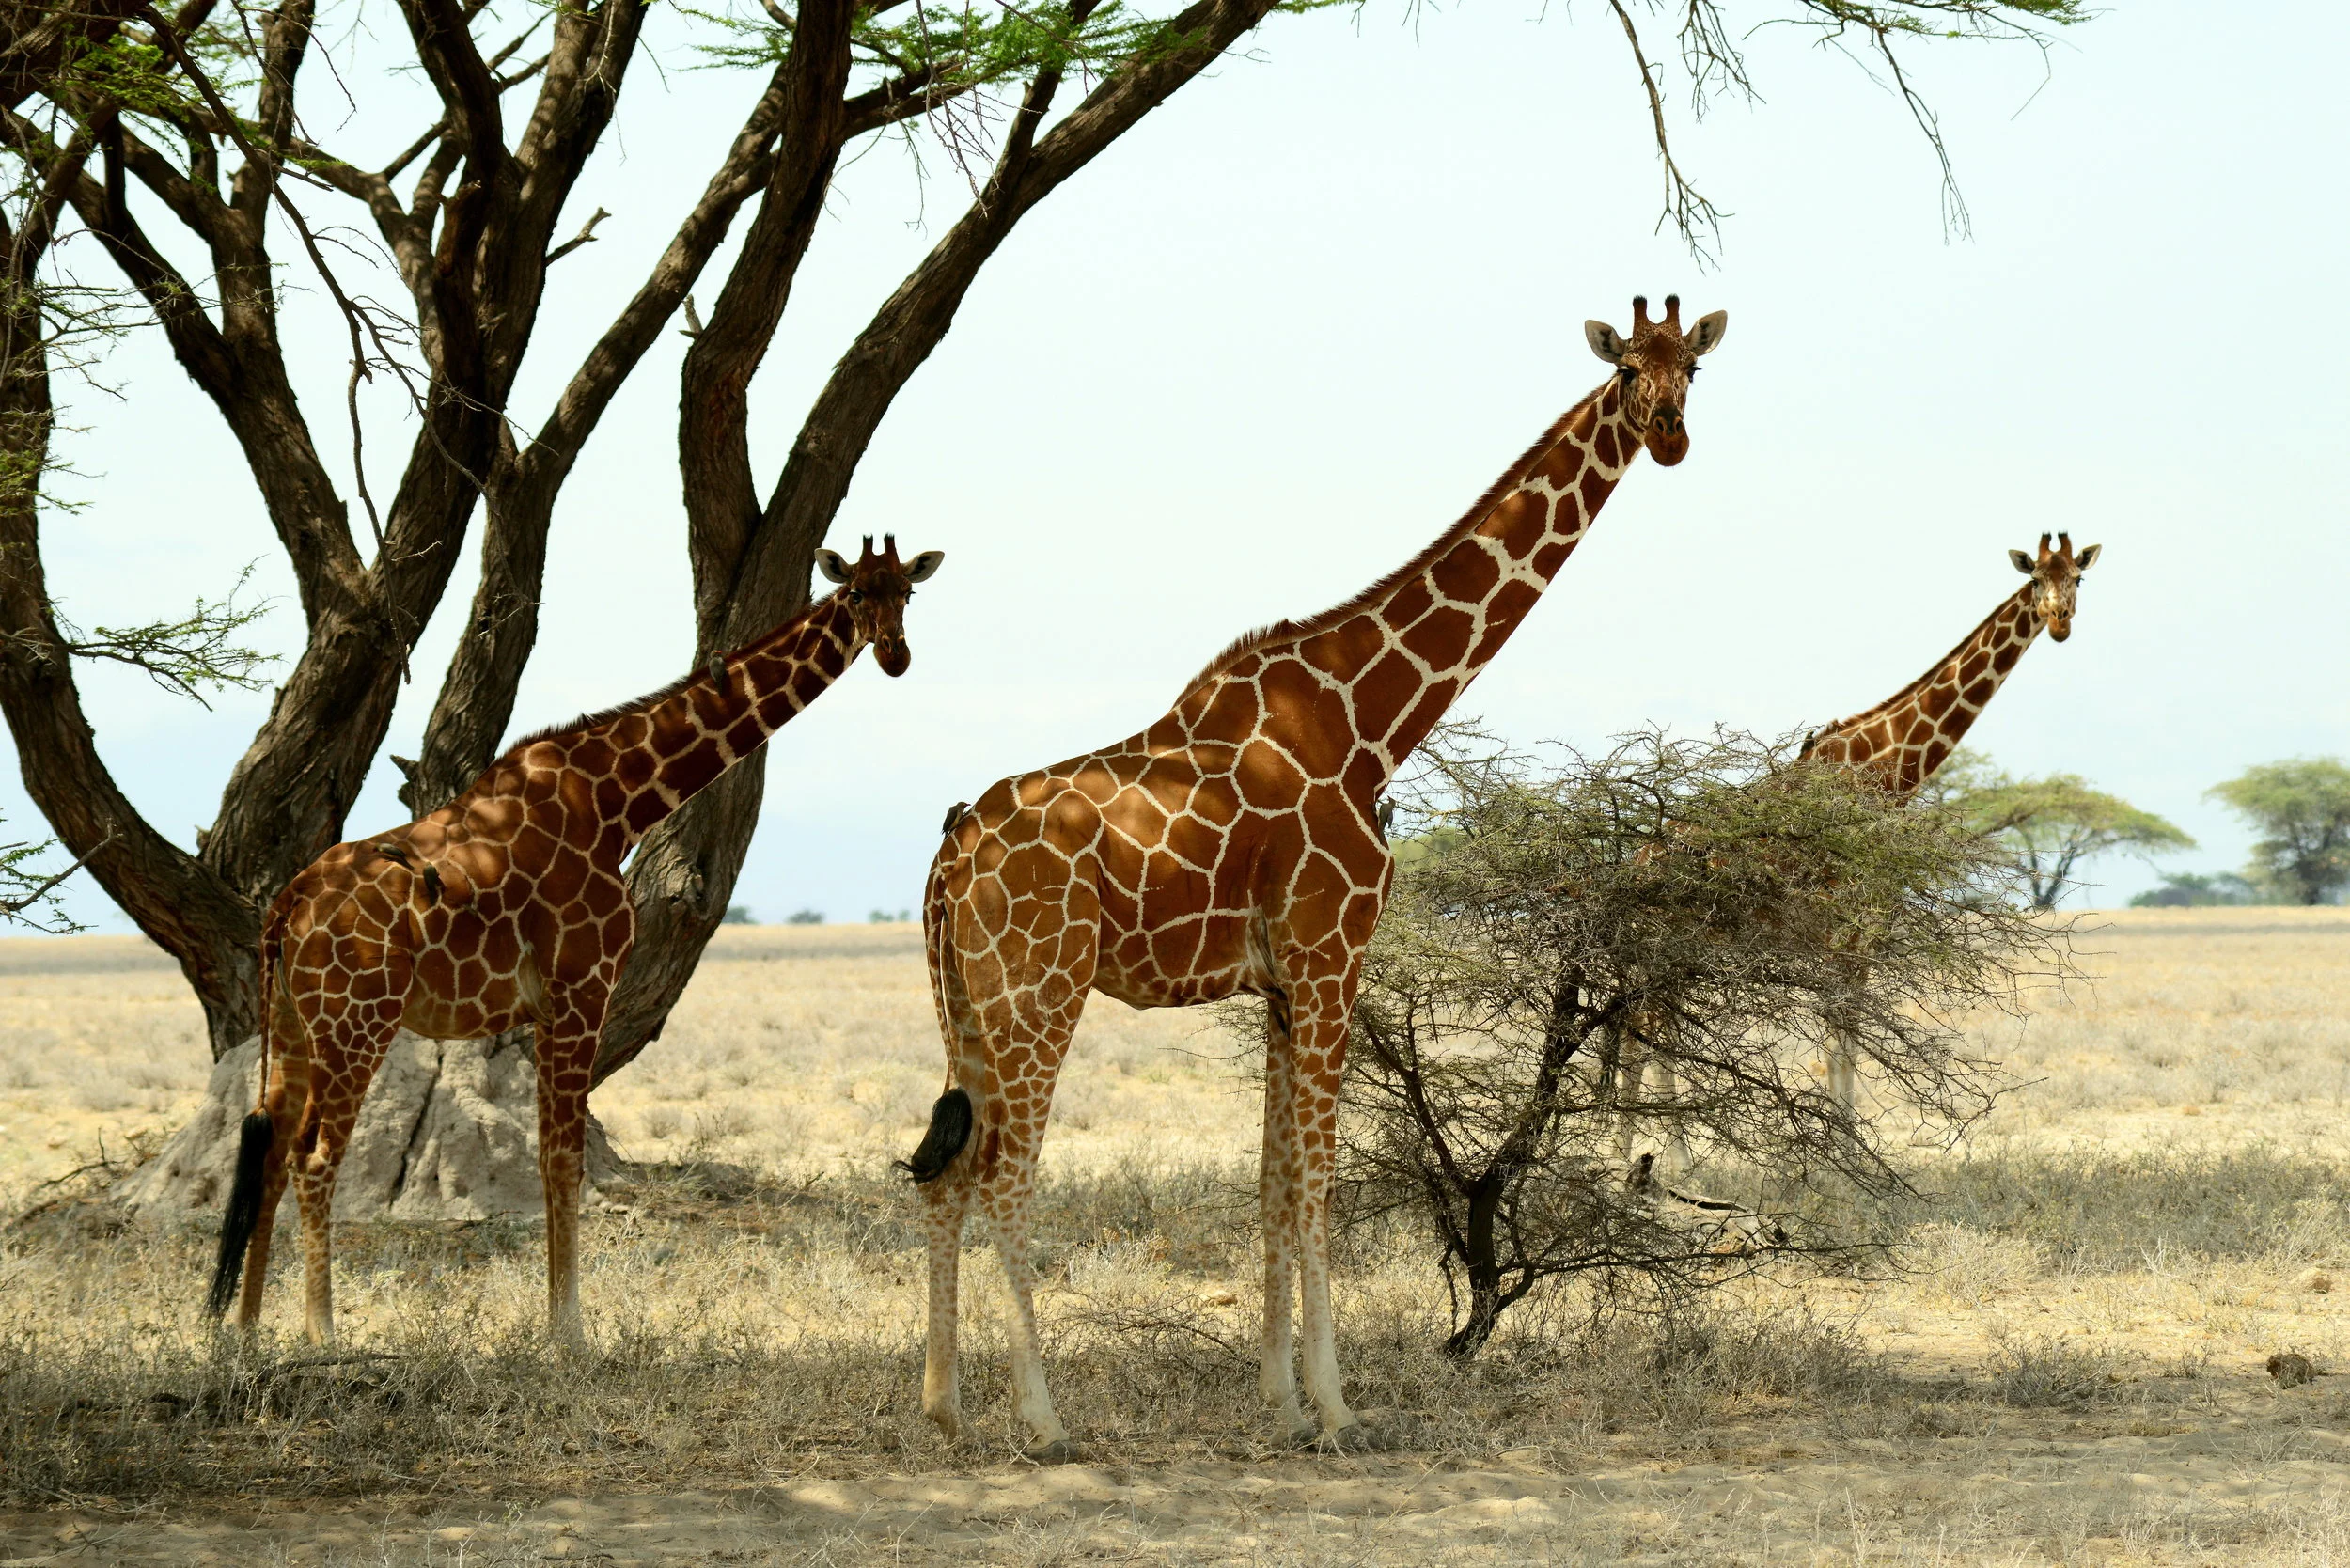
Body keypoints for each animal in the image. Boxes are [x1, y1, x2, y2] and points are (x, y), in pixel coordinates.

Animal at [206, 536, 944, 1345]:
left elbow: (548, 1155)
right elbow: (563, 1160)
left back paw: (245, 1331)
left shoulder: (548, 1004)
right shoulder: (582, 984)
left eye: (908, 591)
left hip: (294, 1024)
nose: (898, 654)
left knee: (272, 1149)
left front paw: (560, 1322)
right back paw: (323, 1332)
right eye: (856, 594)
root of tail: (285, 909)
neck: (619, 800)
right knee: (314, 1156)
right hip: (356, 1020)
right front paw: (570, 1331)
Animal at [901, 295, 1728, 1455]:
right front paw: (1335, 1405)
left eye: (1692, 367)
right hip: (1040, 990)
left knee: (942, 1173)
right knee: (1004, 1174)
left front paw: (1281, 1398)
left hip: (965, 1004)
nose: (1669, 434)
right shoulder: (1333, 955)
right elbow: (1318, 1182)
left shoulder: (1282, 983)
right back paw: (1042, 1415)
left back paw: (942, 1407)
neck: (1370, 718)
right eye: (1625, 374)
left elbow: (1271, 1183)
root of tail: (950, 850)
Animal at [1610, 531, 2100, 1160]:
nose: (2060, 622)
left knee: (1642, 1031)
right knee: (1647, 1032)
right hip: (1661, 944)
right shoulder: (1842, 931)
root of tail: (1633, 866)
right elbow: (1839, 1038)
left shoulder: (1862, 935)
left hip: (1669, 950)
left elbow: (1848, 1037)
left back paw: (1639, 1149)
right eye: (2036, 579)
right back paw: (1652, 1154)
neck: (1886, 775)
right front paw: (1841, 1154)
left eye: (2078, 579)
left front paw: (1846, 1149)